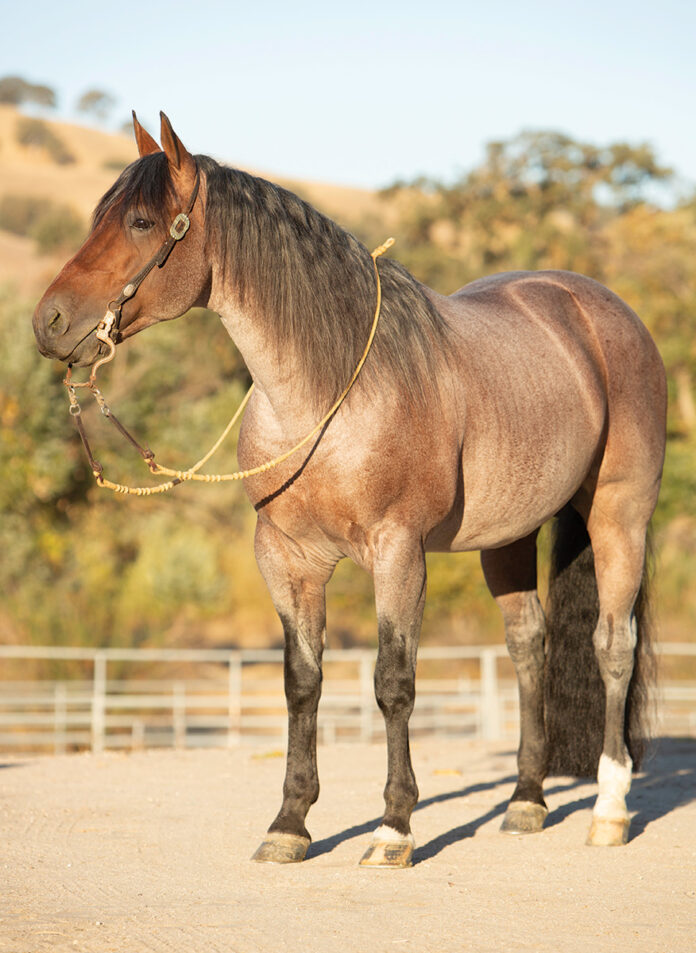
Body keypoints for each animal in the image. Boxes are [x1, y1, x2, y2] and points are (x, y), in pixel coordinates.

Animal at [33, 113, 666, 867]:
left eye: (139, 221)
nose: (48, 323)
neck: (328, 393)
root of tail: (598, 309)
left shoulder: (397, 553)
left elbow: (393, 682)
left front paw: (392, 828)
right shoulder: (287, 558)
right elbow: (302, 682)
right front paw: (289, 823)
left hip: (619, 516)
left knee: (613, 645)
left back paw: (609, 809)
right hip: (507, 538)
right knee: (529, 647)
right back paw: (525, 802)